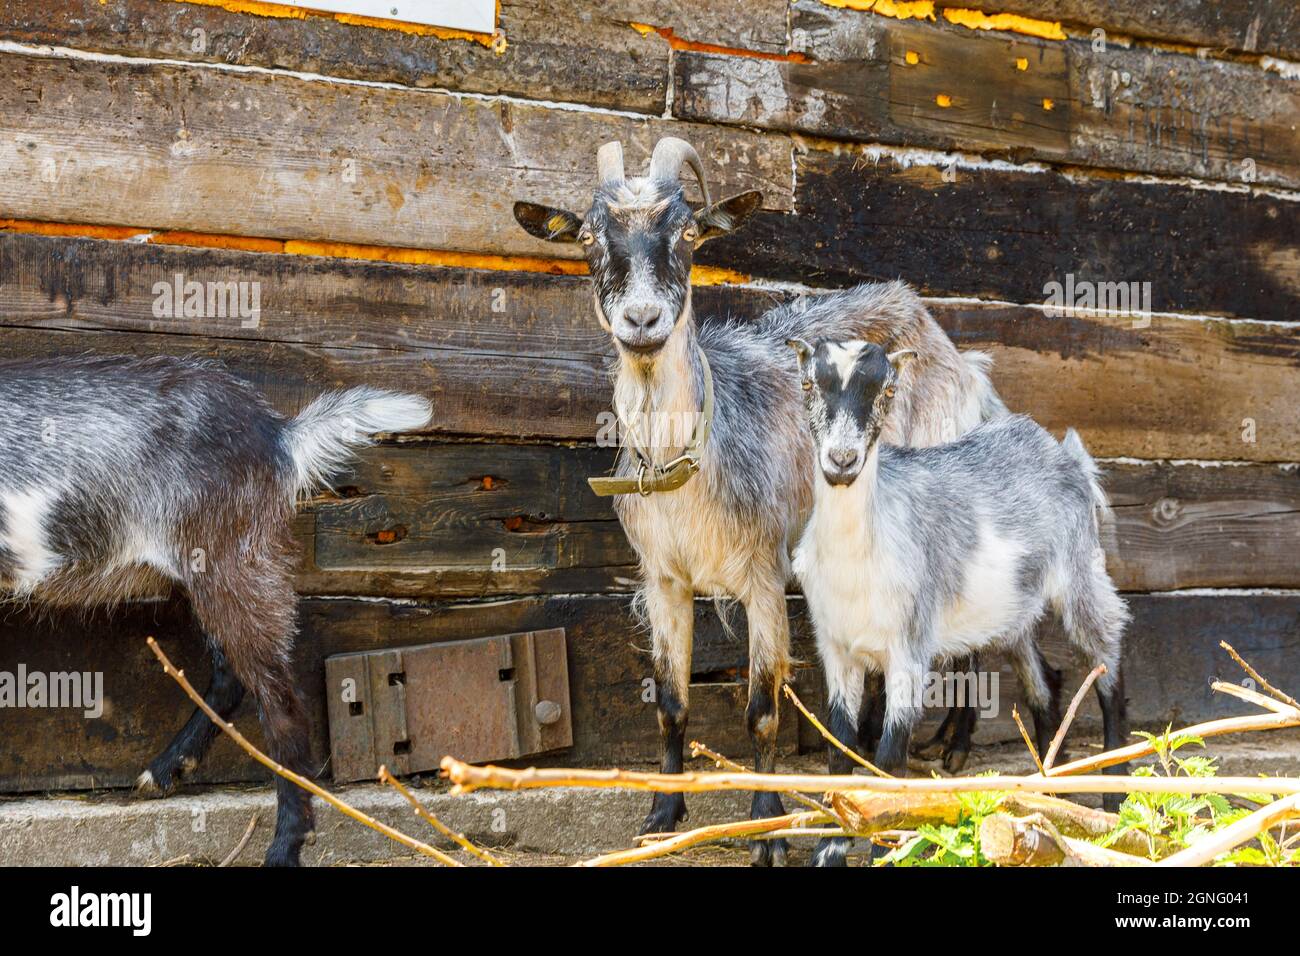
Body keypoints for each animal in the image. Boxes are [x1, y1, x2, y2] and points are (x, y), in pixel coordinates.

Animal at [0, 354, 432, 866]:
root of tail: (280, 433)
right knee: (232, 677)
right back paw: (167, 770)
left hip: (233, 555)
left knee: (282, 703)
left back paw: (284, 846)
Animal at [514, 137, 1007, 864]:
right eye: (587, 237)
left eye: (688, 233)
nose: (641, 320)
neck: (687, 464)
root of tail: (949, 346)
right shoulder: (663, 579)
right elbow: (670, 701)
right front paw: (663, 813)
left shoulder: (763, 574)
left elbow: (763, 708)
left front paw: (768, 828)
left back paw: (953, 747)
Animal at [788, 339, 1129, 866]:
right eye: (807, 383)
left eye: (888, 390)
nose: (842, 460)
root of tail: (1064, 453)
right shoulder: (836, 648)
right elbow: (839, 750)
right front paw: (829, 850)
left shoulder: (909, 645)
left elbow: (889, 757)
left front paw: (887, 846)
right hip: (1012, 609)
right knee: (1042, 683)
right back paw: (1049, 794)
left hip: (1080, 571)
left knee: (1108, 656)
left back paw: (1113, 793)